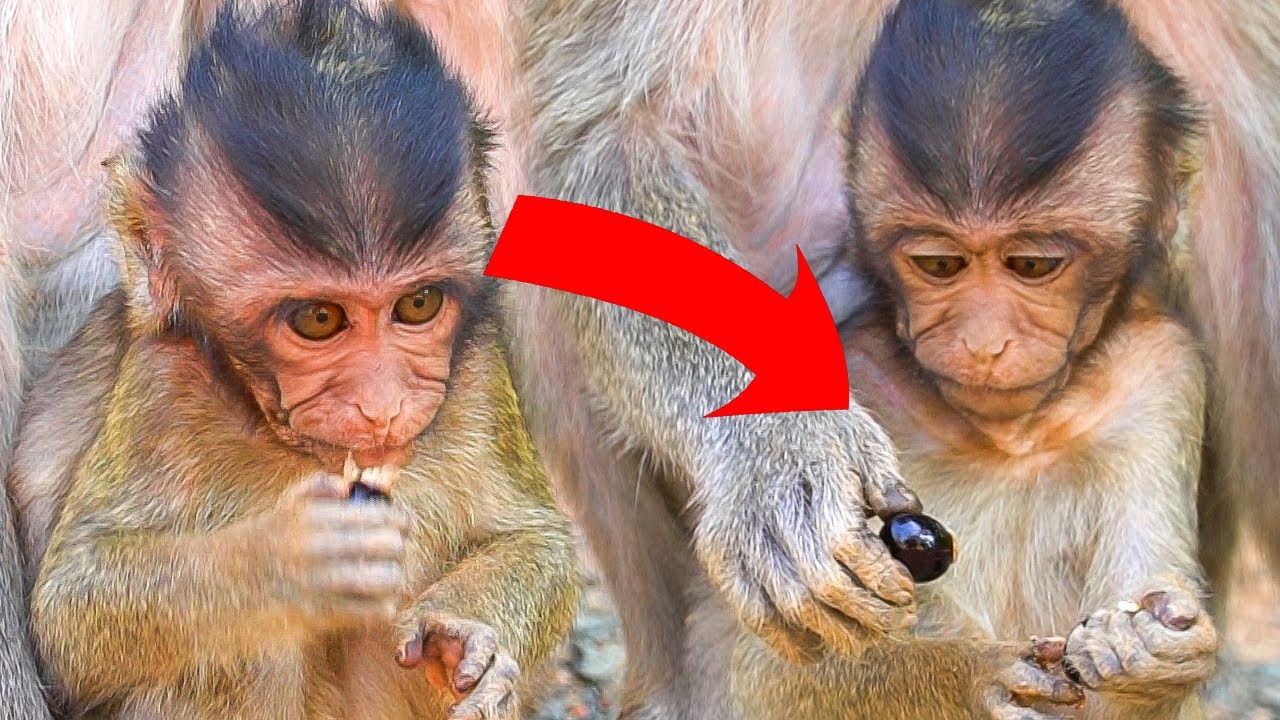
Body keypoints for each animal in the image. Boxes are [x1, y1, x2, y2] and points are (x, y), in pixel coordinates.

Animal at [15, 3, 579, 718]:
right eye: (318, 319)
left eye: (418, 304)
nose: (383, 405)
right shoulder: (160, 390)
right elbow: (70, 608)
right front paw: (286, 560)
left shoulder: (478, 374)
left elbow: (537, 540)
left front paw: (469, 634)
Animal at [507, 0, 1280, 717]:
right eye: (939, 265)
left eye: (1033, 265)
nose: (984, 342)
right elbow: (607, 130)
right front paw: (781, 454)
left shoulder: (1160, 376)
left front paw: (1145, 657)